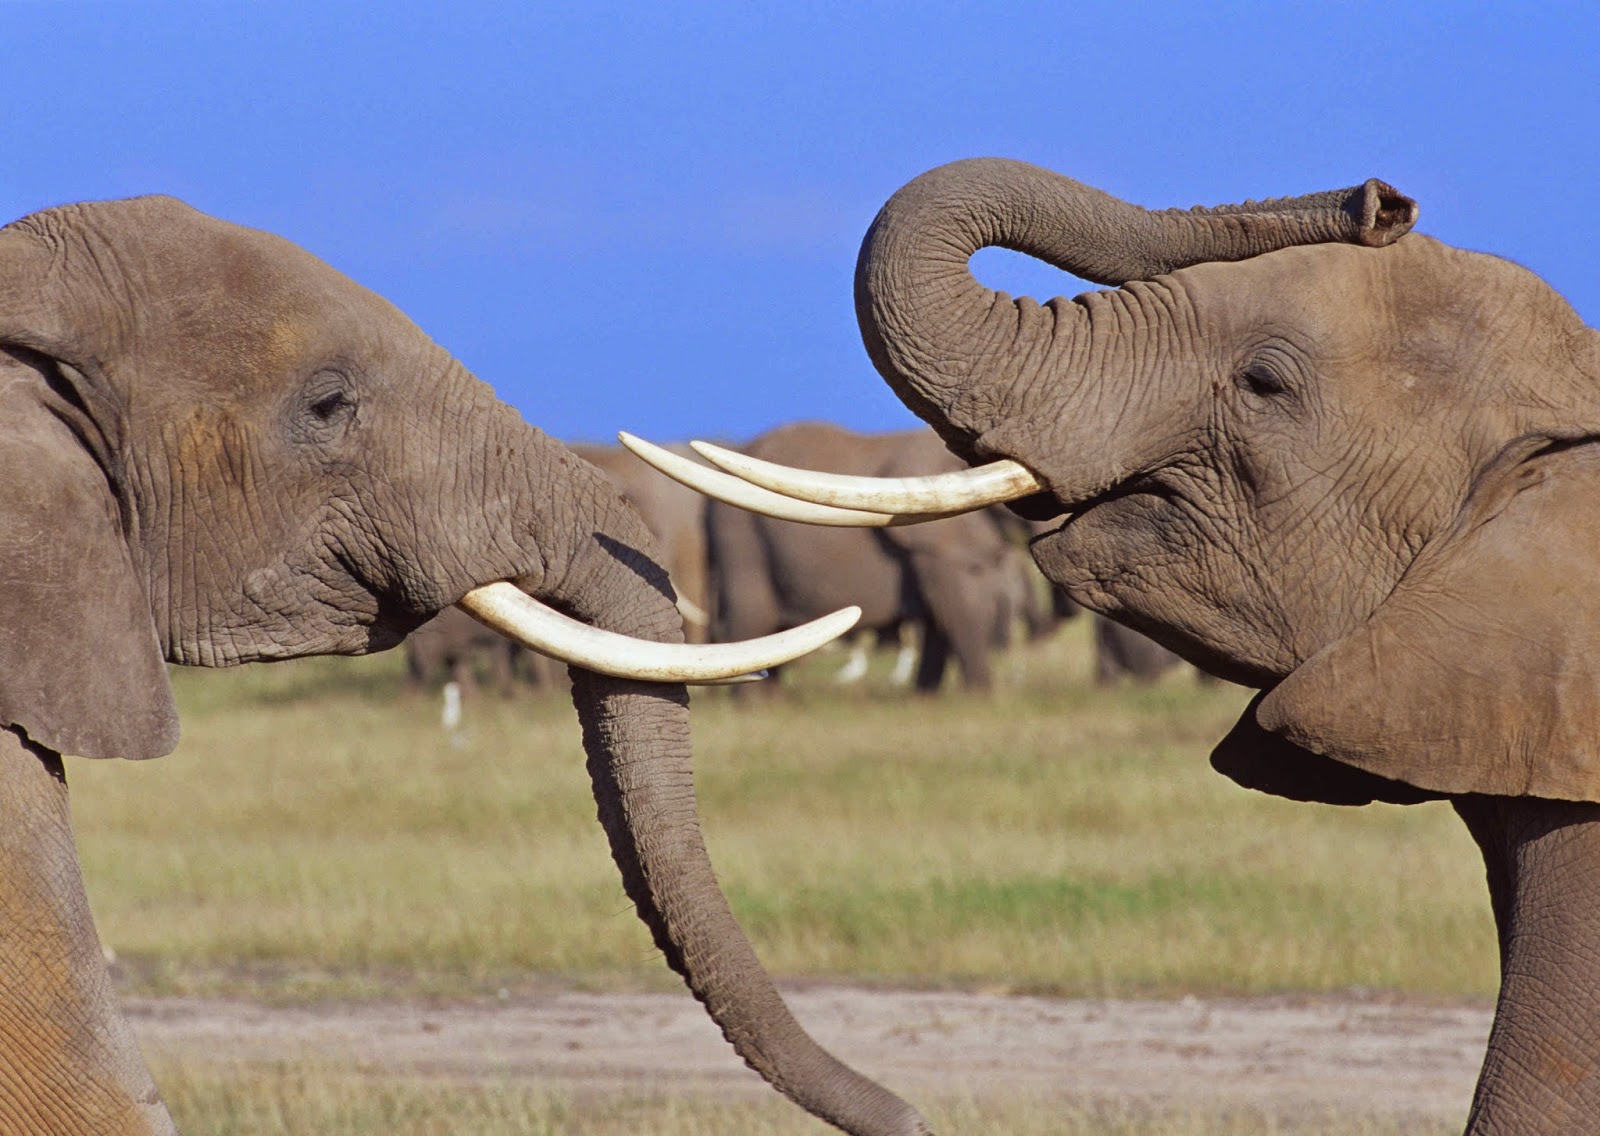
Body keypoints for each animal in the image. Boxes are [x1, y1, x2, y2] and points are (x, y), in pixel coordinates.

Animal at [704, 422, 1040, 693]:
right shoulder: (932, 541)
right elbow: (957, 604)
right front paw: (980, 695)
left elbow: (941, 613)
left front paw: (926, 698)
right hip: (741, 537)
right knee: (751, 617)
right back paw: (755, 706)